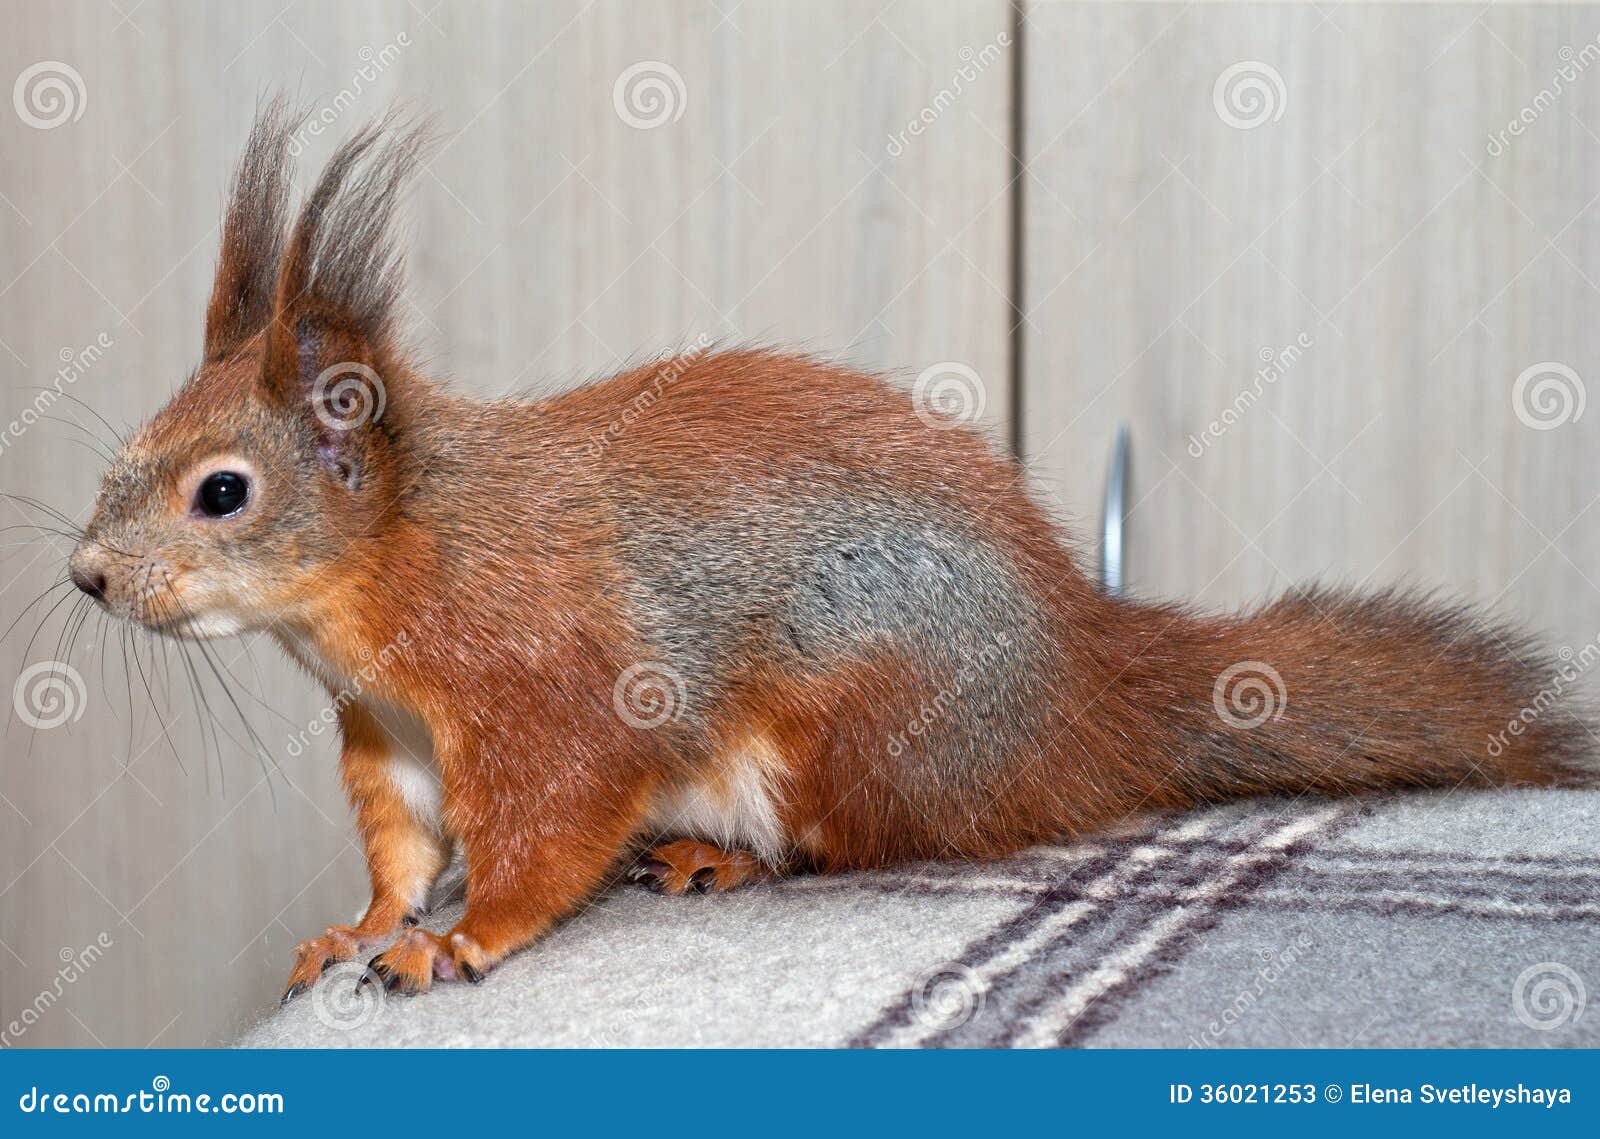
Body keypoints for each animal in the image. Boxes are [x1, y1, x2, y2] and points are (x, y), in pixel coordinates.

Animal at [69, 102, 1594, 1001]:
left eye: (221, 491)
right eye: (135, 442)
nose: (84, 574)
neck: (404, 561)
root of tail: (1085, 705)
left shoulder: (544, 692)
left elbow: (546, 834)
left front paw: (463, 935)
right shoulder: (386, 732)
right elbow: (398, 847)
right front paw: (362, 924)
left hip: (850, 730)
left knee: (852, 840)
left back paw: (723, 859)